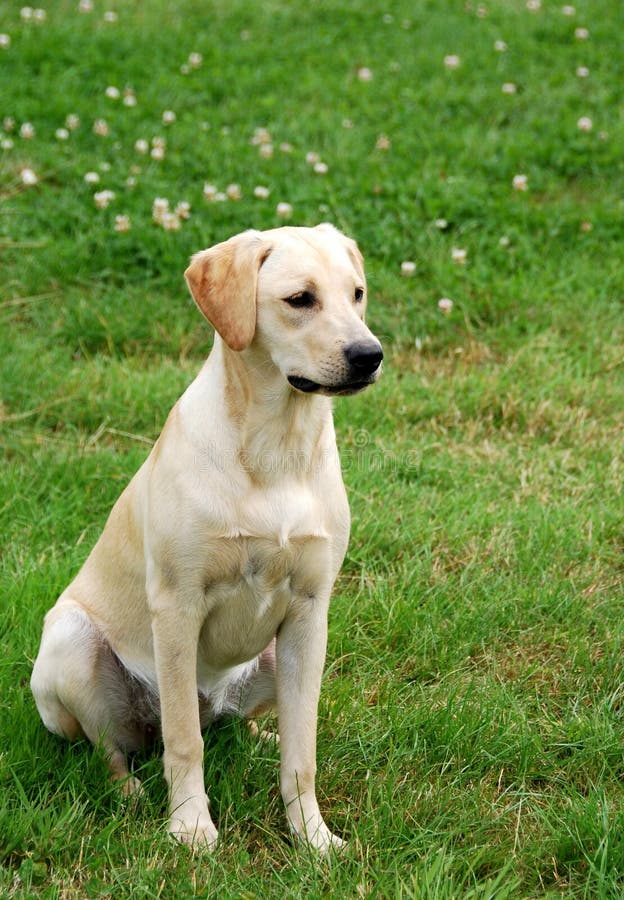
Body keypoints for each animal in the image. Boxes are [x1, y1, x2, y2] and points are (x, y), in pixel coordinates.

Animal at [31, 223, 382, 852]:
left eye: (357, 294)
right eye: (300, 299)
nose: (370, 356)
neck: (276, 447)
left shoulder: (310, 611)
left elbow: (303, 751)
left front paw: (313, 838)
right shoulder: (177, 605)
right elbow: (183, 742)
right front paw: (191, 827)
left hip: (276, 659)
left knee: (238, 727)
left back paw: (258, 742)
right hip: (70, 641)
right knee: (117, 747)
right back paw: (129, 793)